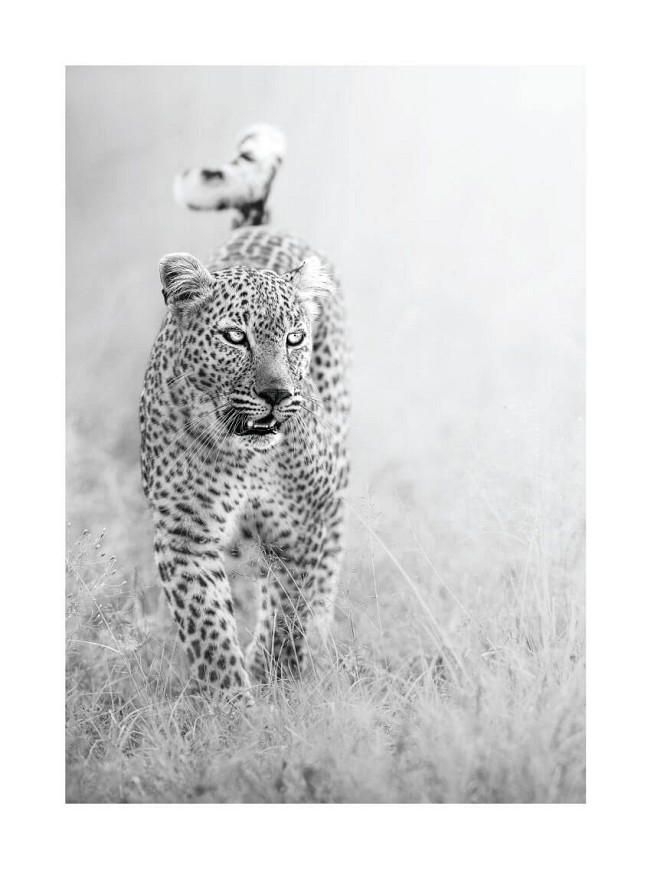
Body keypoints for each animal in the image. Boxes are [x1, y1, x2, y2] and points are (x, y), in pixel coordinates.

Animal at [140, 125, 350, 700]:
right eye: (236, 337)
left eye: (293, 338)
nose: (276, 393)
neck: (245, 456)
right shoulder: (185, 532)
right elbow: (208, 627)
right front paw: (231, 704)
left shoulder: (303, 521)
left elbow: (292, 606)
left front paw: (278, 671)